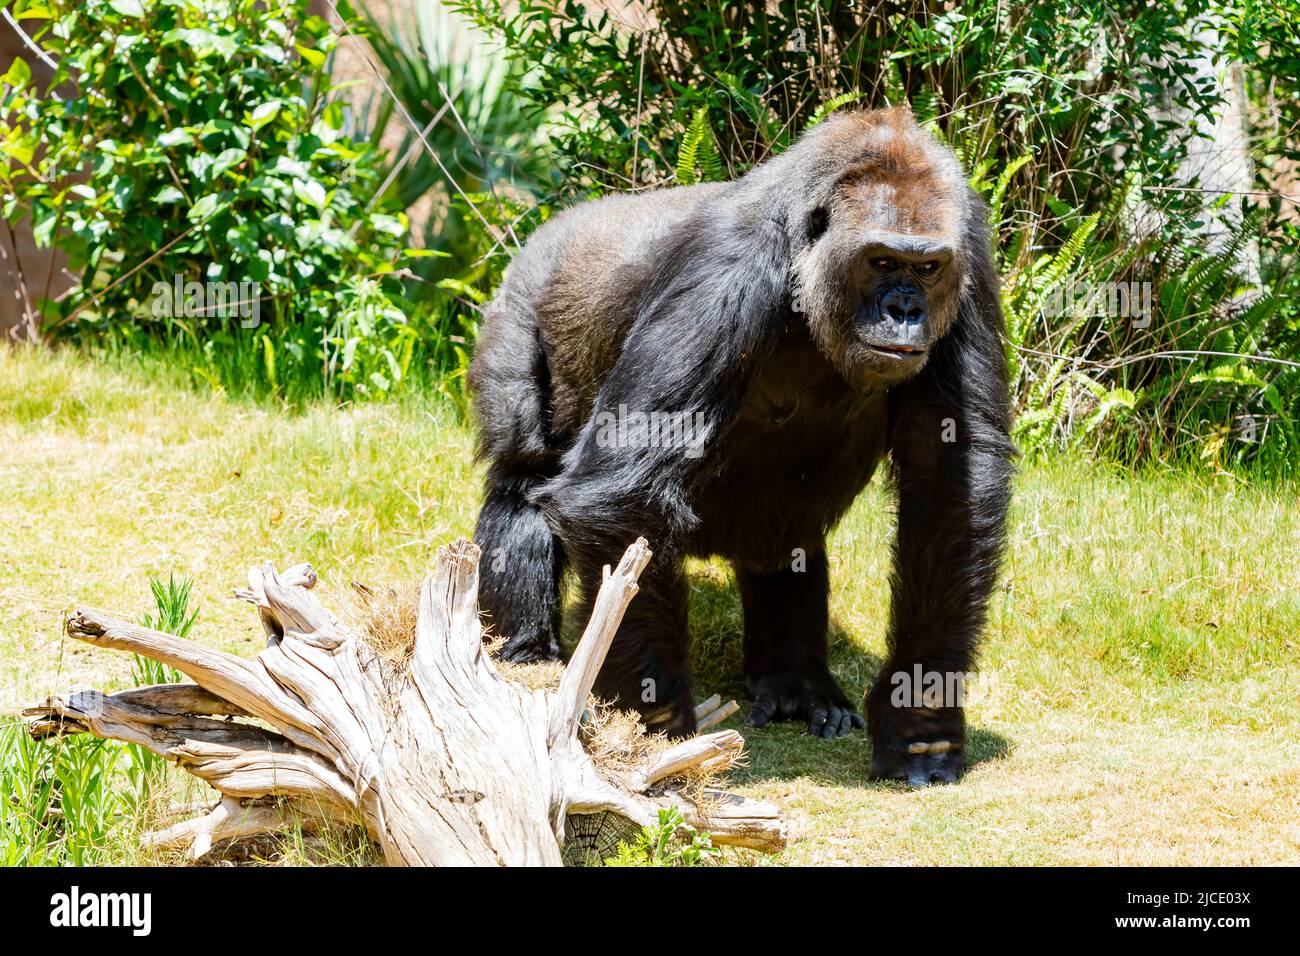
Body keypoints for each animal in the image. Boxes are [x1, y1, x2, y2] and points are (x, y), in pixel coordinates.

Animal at [468, 107, 1014, 786]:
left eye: (928, 268)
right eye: (882, 263)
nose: (905, 311)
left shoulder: (971, 260)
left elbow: (948, 493)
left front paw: (921, 712)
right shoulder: (728, 269)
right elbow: (618, 491)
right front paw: (653, 721)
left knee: (788, 540)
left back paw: (792, 679)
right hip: (520, 300)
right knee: (521, 473)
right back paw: (524, 647)